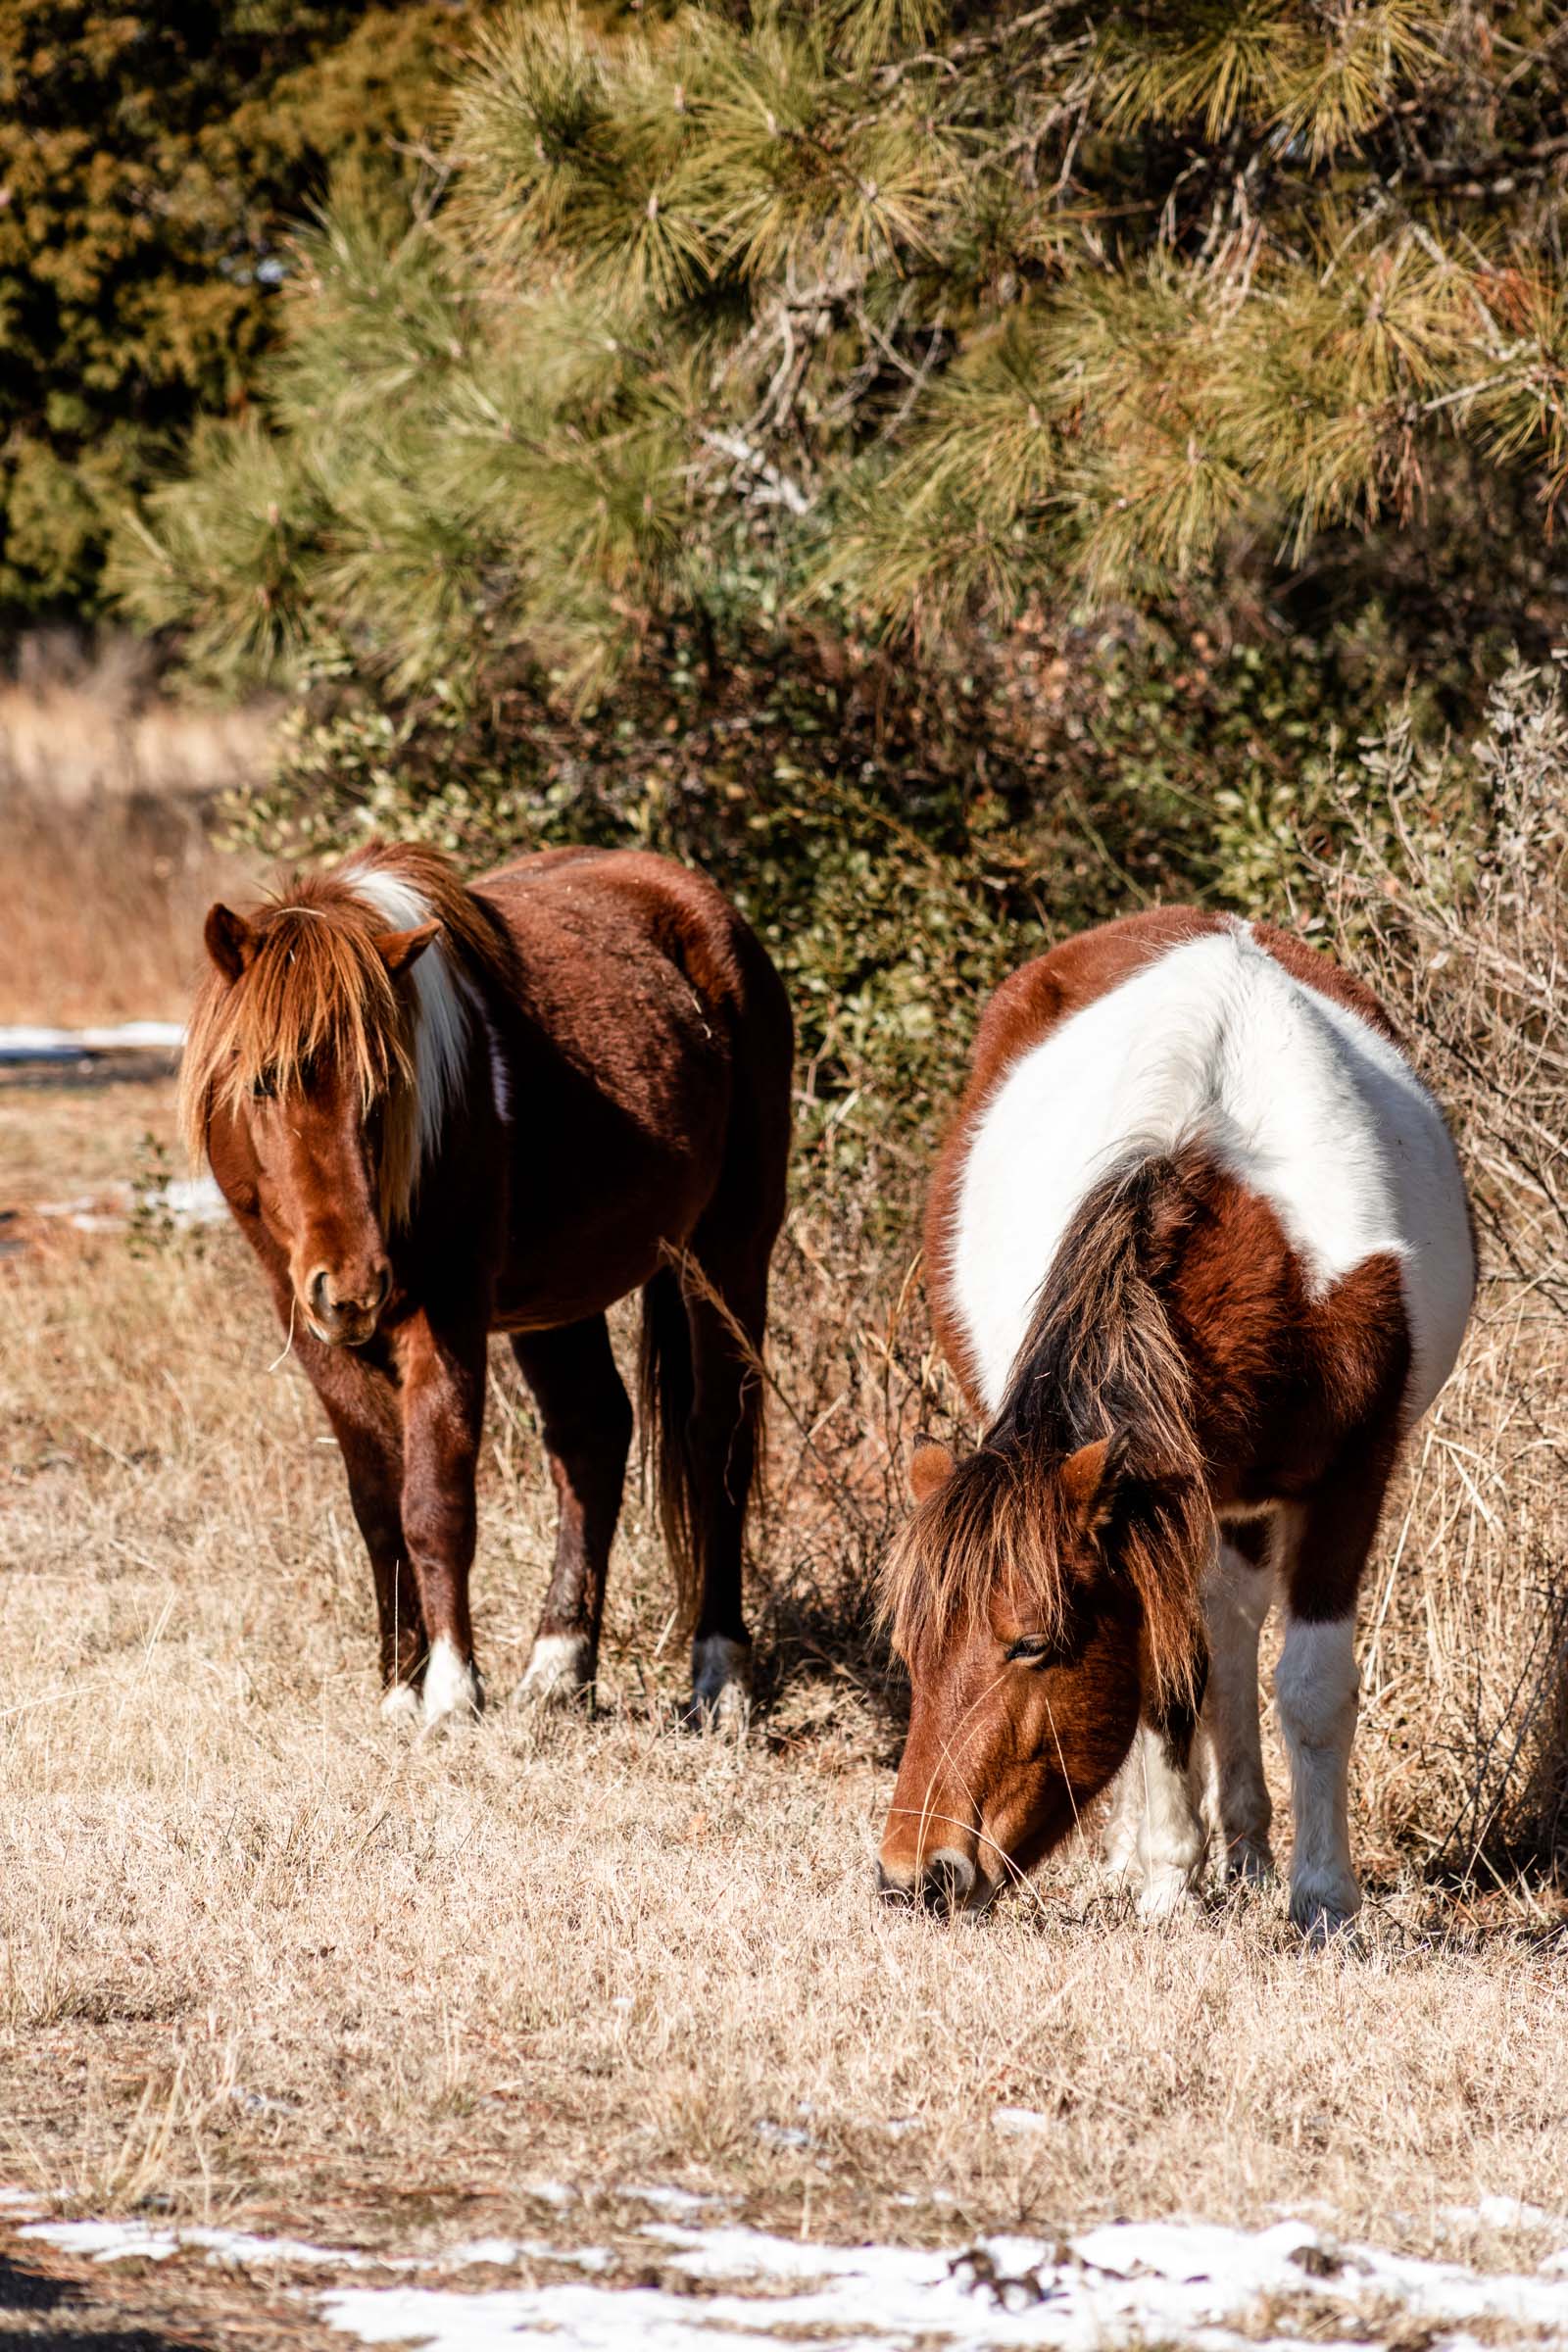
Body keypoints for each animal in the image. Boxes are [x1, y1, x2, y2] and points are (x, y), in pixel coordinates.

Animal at [181, 840, 793, 1729]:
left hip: (729, 1253)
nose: (353, 1285)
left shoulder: (447, 1316)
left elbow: (435, 1505)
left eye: (383, 1088)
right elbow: (379, 1511)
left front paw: (452, 1691)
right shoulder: (313, 1330)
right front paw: (399, 1687)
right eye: (261, 1082)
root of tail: (702, 906)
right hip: (558, 1303)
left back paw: (721, 1678)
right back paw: (558, 1670)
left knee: (719, 1439)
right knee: (593, 1435)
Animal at [876, 909, 1474, 1935]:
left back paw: (1247, 1847)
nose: (914, 1878)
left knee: (1231, 1626)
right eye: (911, 1653)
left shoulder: (1352, 1472)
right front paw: (1166, 1881)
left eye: (1033, 1643)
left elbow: (1311, 1686)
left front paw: (1324, 1900)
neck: (1264, 1246)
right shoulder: (1149, 1499)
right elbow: (1165, 1679)